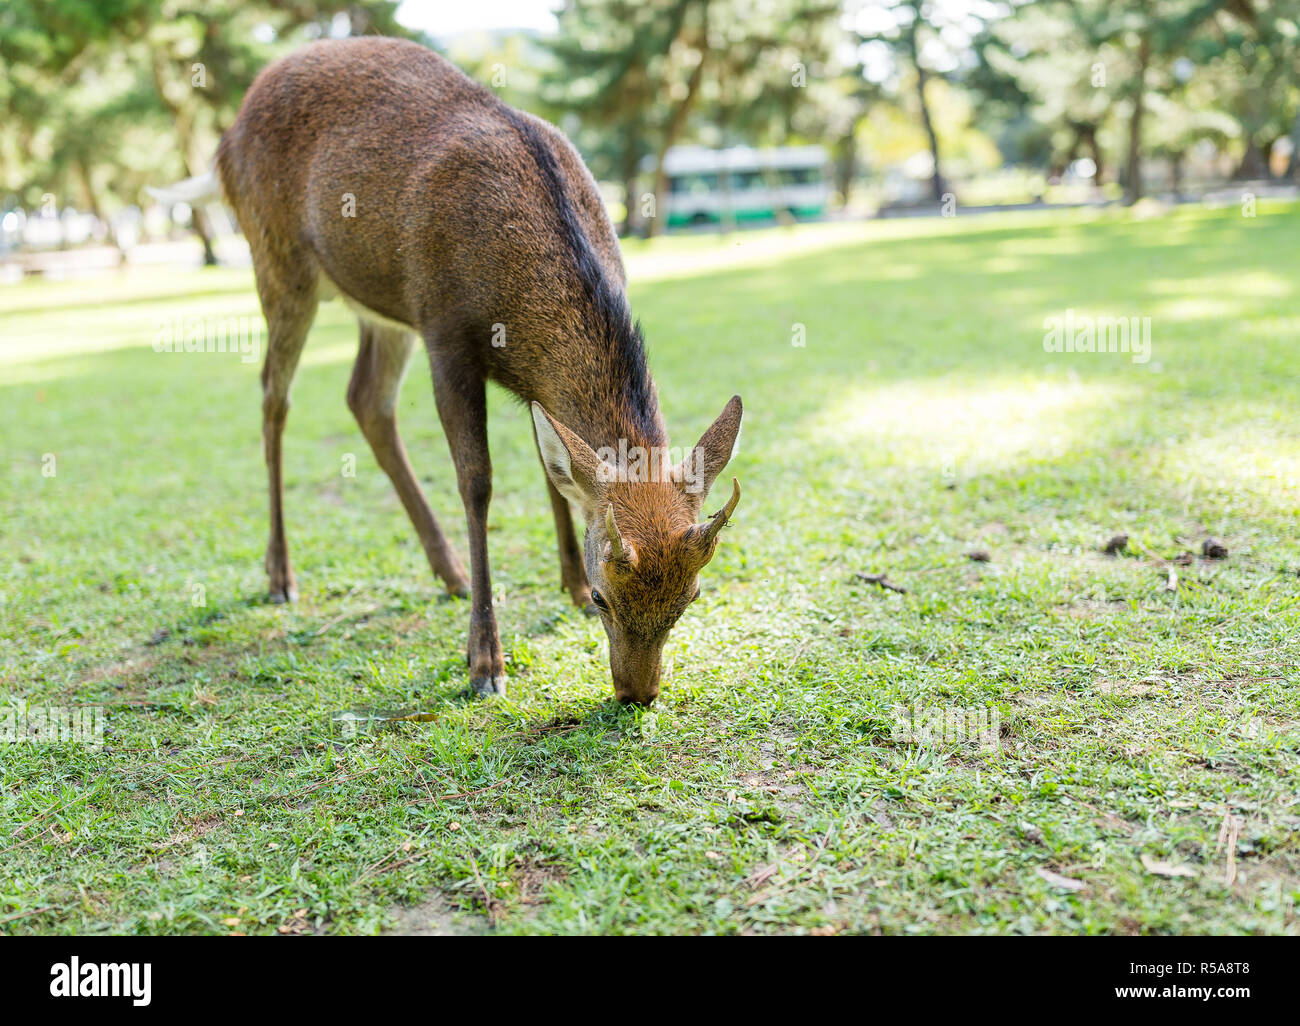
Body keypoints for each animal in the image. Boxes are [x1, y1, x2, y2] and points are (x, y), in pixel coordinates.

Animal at [203, 36, 743, 705]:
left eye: (690, 599)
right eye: (605, 598)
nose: (637, 693)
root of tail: (225, 137)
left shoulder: (525, 383)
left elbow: (552, 472)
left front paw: (560, 580)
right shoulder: (445, 334)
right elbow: (477, 481)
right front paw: (485, 659)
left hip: (383, 309)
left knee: (365, 398)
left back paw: (449, 571)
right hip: (277, 263)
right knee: (274, 399)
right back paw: (280, 573)